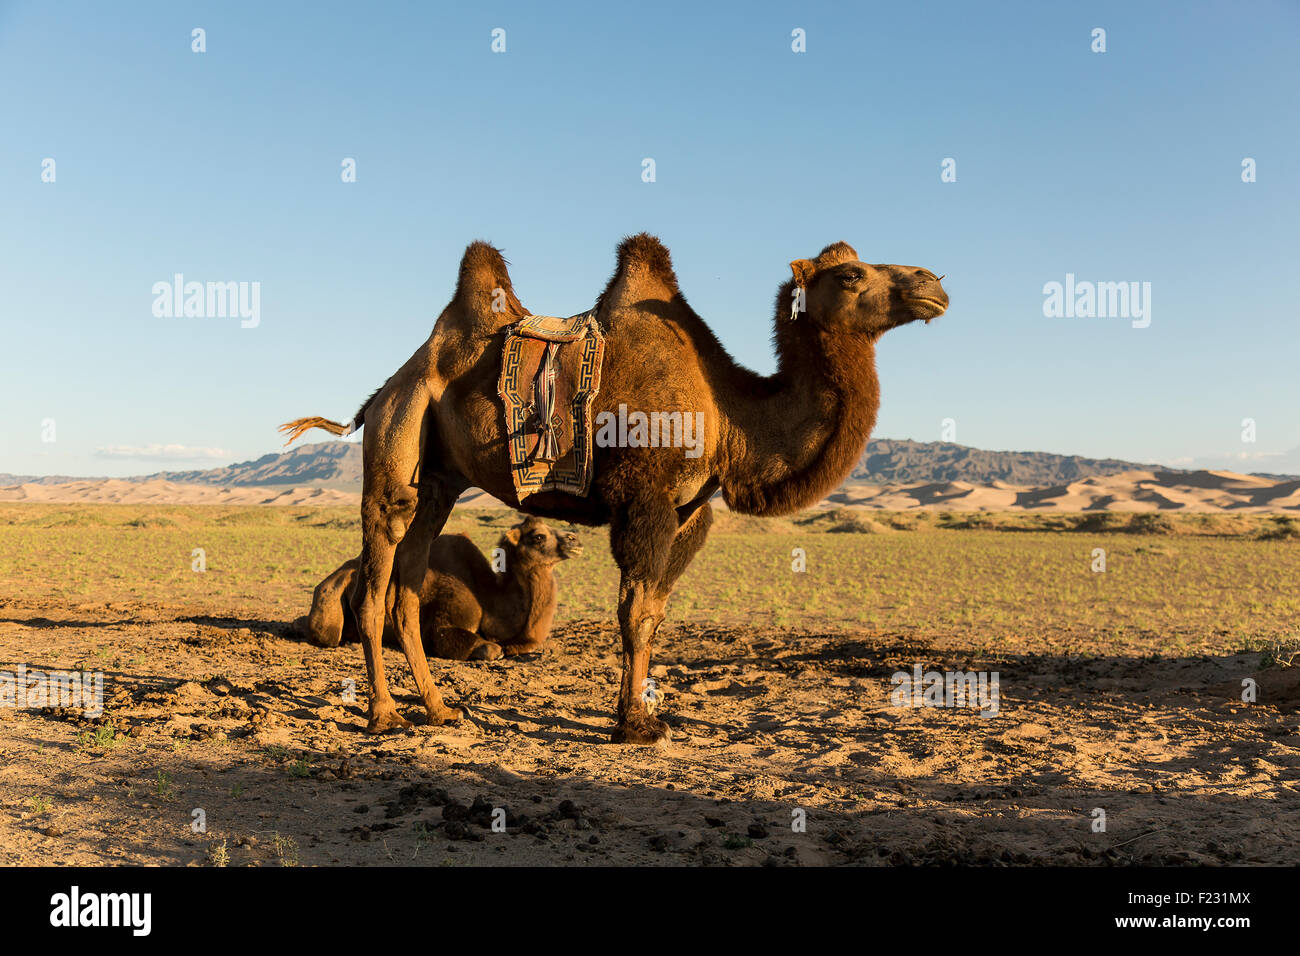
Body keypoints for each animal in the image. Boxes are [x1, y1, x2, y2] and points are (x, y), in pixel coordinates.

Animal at [293, 516, 581, 660]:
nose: (575, 540)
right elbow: (489, 648)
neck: (489, 596)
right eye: (539, 536)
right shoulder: (447, 617)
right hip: (329, 609)